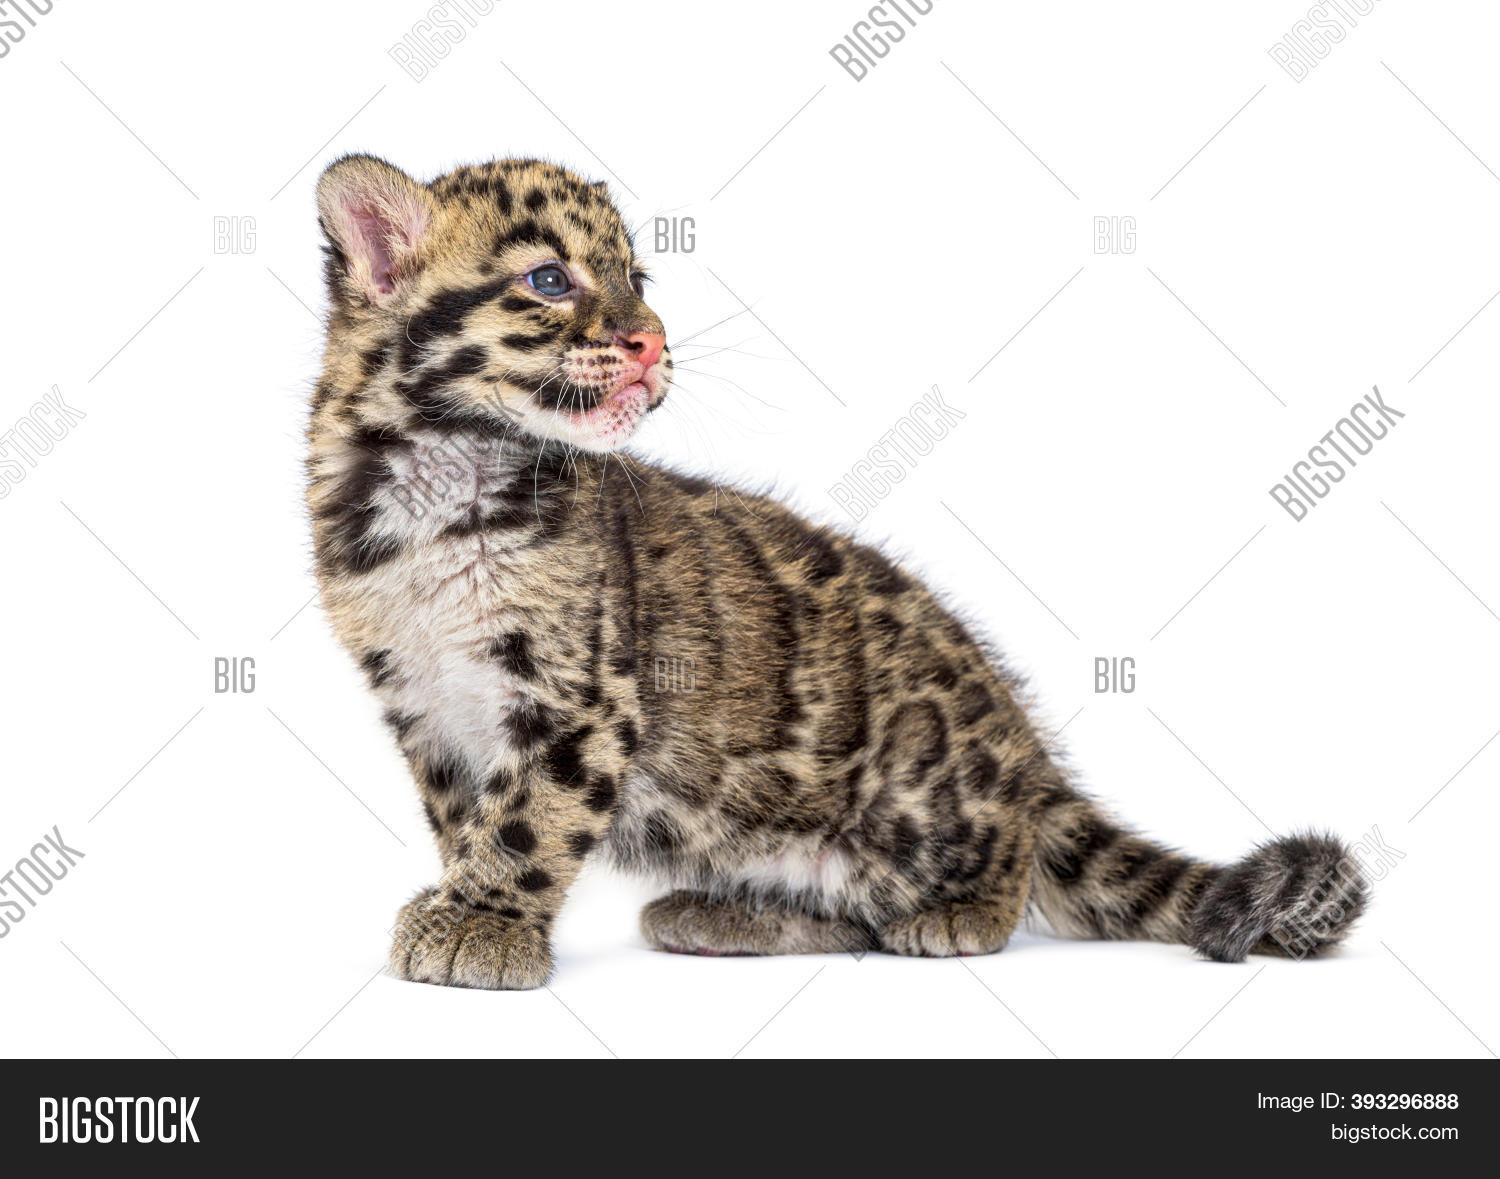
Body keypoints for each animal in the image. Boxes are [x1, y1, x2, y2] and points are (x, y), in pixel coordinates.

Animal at [305, 153, 1367, 988]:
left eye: (639, 278)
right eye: (549, 278)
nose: (653, 340)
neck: (431, 475)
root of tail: (1028, 754)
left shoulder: (578, 694)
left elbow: (531, 818)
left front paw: (484, 923)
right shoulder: (424, 699)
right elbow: (470, 815)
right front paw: (465, 900)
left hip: (922, 797)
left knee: (1001, 862)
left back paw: (956, 914)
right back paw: (718, 914)